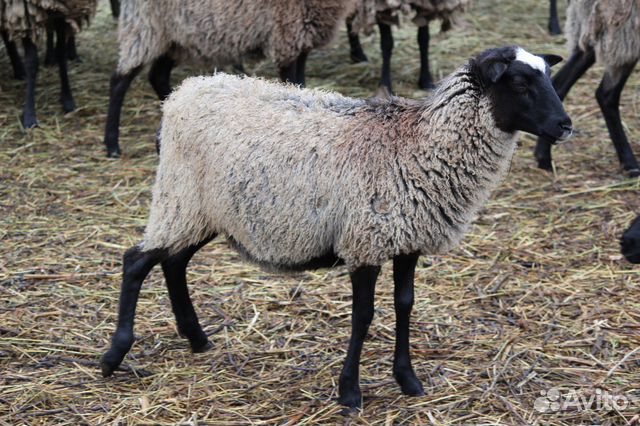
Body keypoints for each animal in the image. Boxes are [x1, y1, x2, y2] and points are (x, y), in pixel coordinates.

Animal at [100, 46, 572, 409]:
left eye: (548, 78)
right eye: (520, 83)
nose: (565, 125)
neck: (419, 143)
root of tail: (186, 90)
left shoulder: (406, 239)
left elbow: (404, 305)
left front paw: (408, 380)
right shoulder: (365, 241)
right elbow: (363, 316)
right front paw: (349, 393)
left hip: (205, 210)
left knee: (174, 262)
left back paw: (197, 339)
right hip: (179, 196)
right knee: (136, 261)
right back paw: (113, 355)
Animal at [103, 0, 356, 158]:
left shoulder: (301, 39)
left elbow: (301, 84)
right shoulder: (286, 35)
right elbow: (293, 83)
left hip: (175, 39)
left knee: (157, 76)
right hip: (145, 29)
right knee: (119, 81)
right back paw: (112, 144)